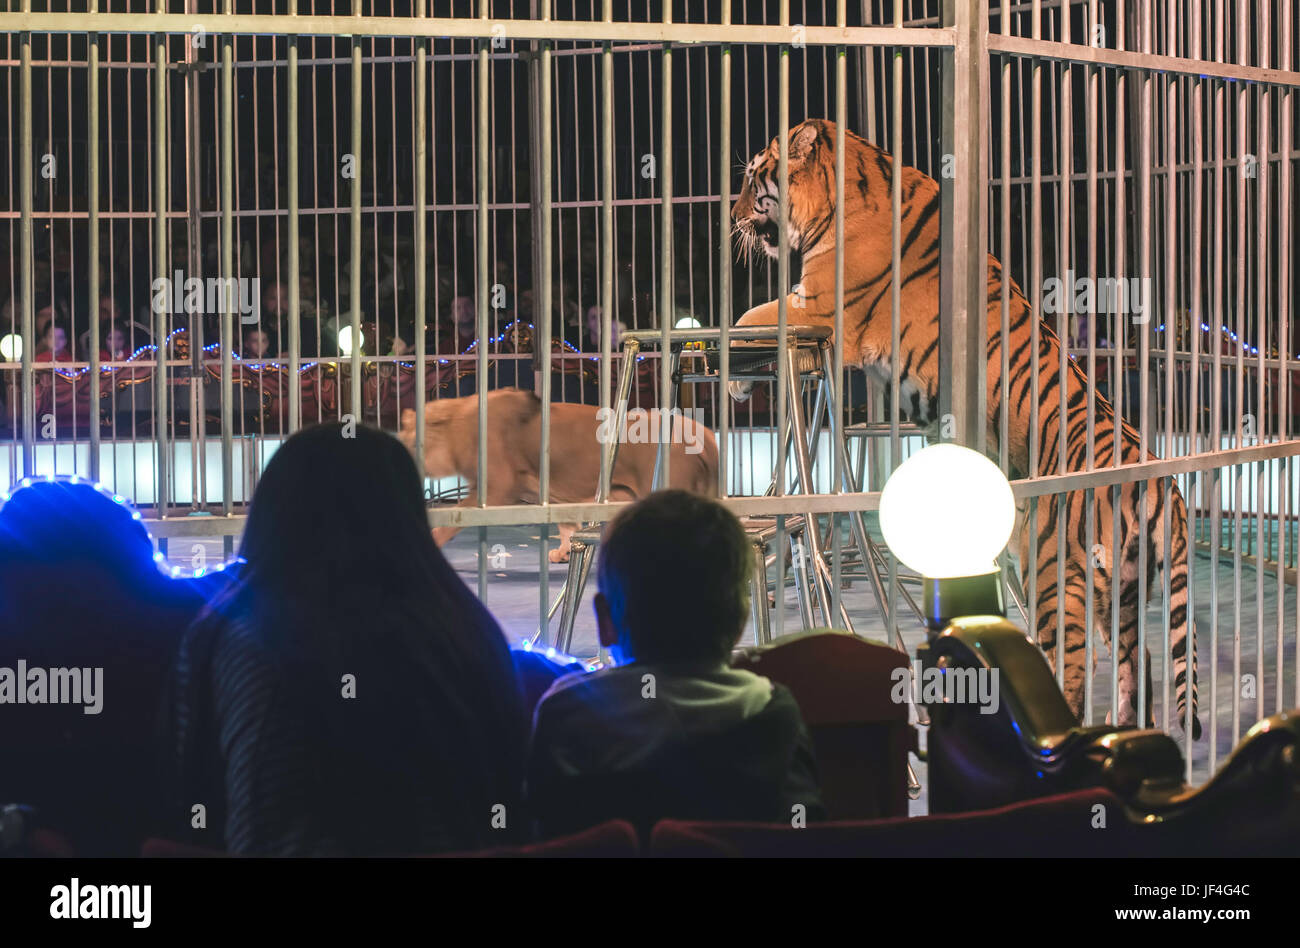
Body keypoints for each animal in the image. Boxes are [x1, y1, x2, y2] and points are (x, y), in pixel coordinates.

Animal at [728, 118, 1200, 739]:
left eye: (753, 179)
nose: (733, 216)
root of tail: (1162, 486)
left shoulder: (820, 312)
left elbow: (749, 319)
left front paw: (735, 383)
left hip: (1052, 569)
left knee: (1076, 669)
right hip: (1122, 592)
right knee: (1135, 662)